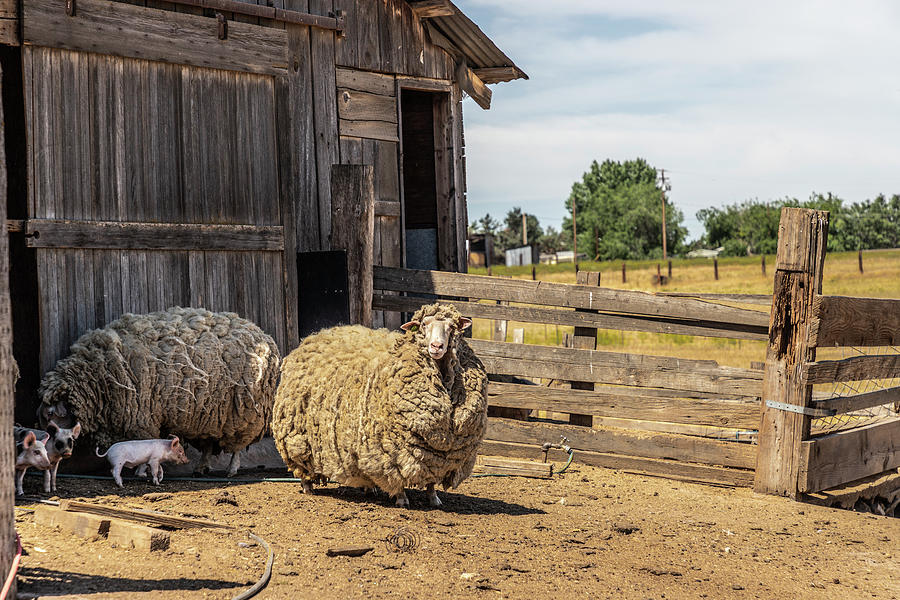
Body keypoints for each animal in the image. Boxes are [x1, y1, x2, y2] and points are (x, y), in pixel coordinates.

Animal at [37, 306, 280, 476]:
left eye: (51, 414)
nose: (45, 445)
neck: (98, 373)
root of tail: (263, 335)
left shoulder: (140, 418)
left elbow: (143, 446)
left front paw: (140, 471)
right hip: (209, 415)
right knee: (208, 444)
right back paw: (201, 468)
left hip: (244, 415)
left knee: (237, 446)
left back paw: (231, 469)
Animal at [272, 302, 488, 508]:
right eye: (423, 325)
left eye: (451, 327)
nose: (436, 346)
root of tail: (312, 338)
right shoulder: (394, 449)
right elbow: (397, 476)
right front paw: (402, 499)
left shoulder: (435, 453)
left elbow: (431, 479)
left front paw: (434, 498)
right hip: (296, 436)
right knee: (300, 465)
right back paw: (308, 487)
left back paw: (369, 489)